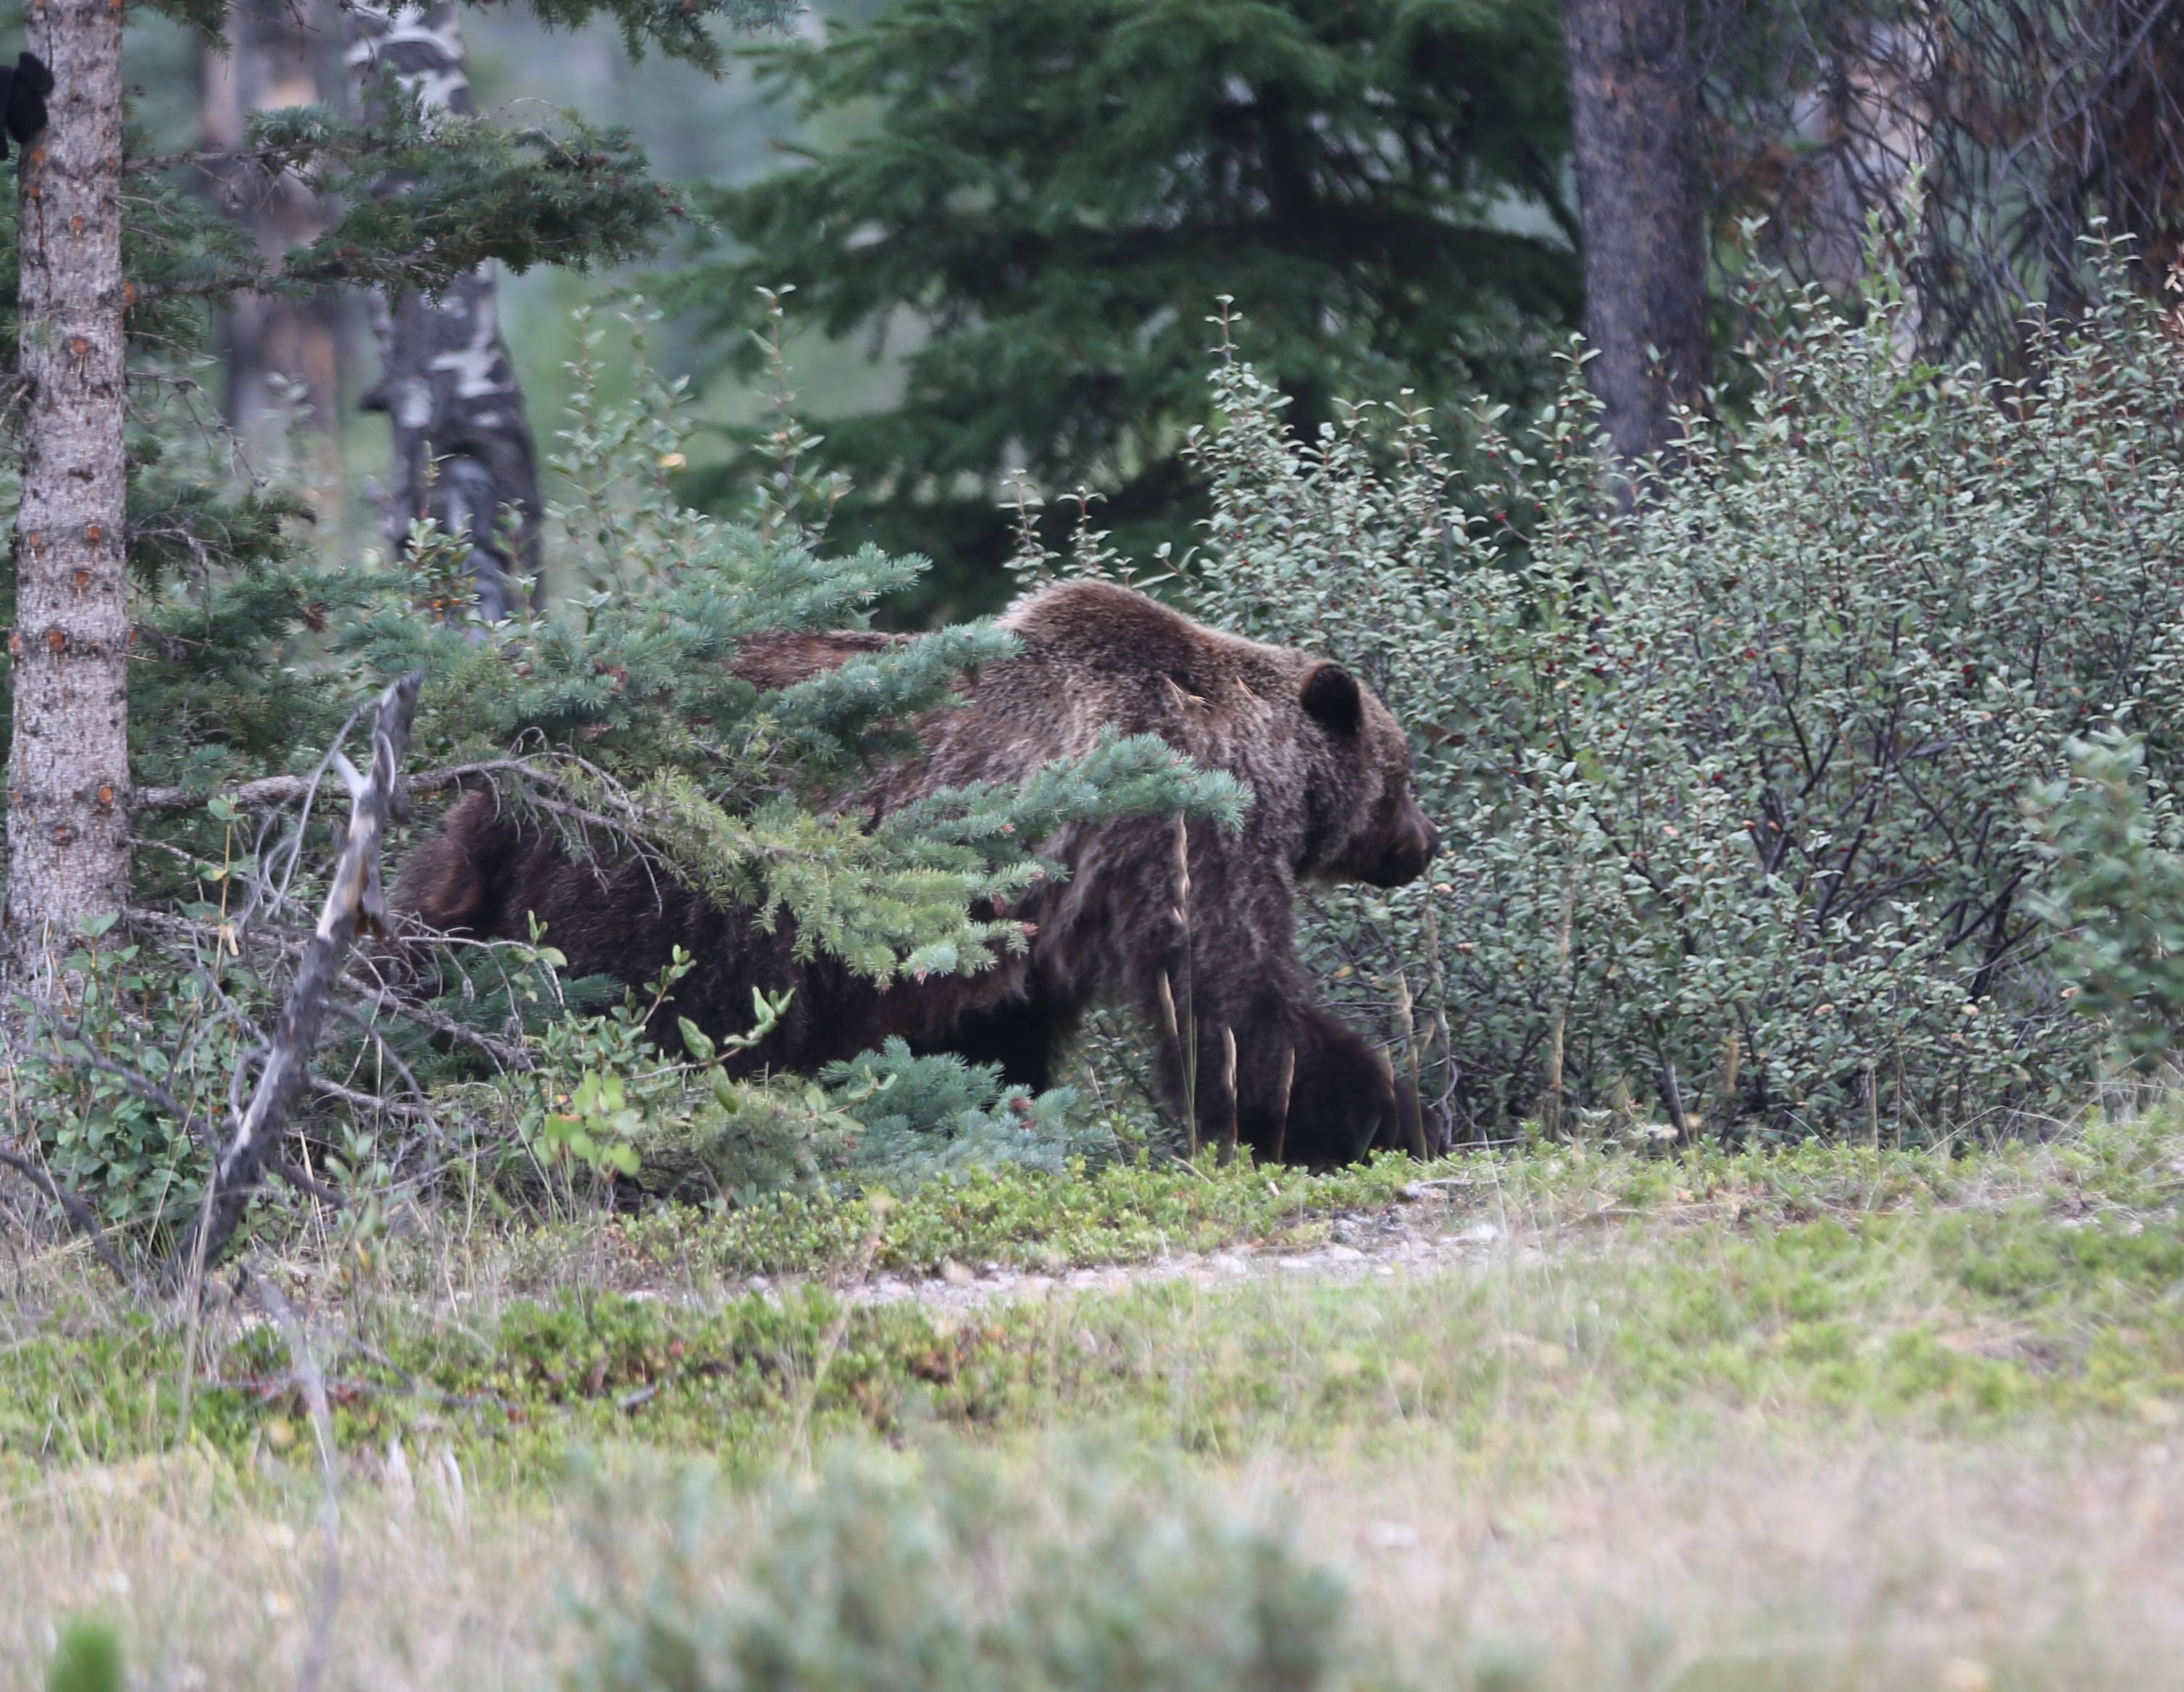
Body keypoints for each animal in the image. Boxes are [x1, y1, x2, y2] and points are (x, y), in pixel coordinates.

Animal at [396, 578, 1440, 1166]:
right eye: (1404, 772)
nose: (1423, 842)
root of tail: (503, 787)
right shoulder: (1181, 828)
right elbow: (1233, 1005)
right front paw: (1380, 1116)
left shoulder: (1026, 917)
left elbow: (988, 1033)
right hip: (667, 888)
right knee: (660, 1021)